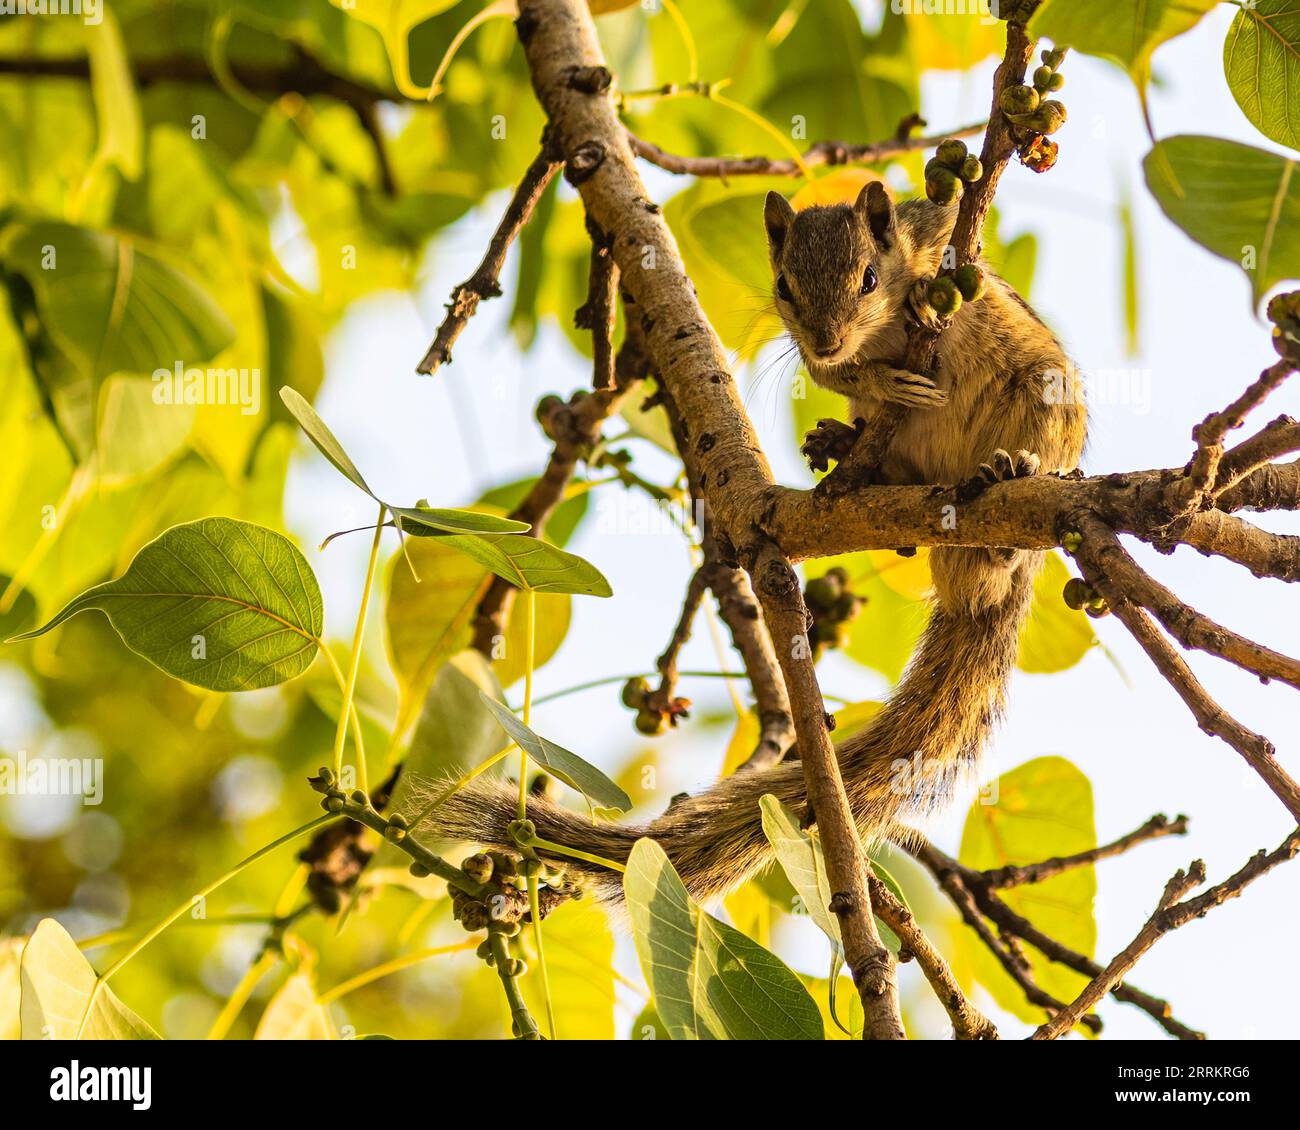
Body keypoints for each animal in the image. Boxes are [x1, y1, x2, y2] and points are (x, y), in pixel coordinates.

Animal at [426, 181, 1087, 905]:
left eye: (870, 278)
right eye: (784, 287)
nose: (826, 339)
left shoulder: (937, 231)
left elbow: (960, 253)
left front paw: (922, 296)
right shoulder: (819, 361)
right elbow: (836, 377)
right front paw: (879, 380)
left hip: (1050, 396)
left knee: (1031, 478)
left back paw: (1011, 484)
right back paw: (861, 458)